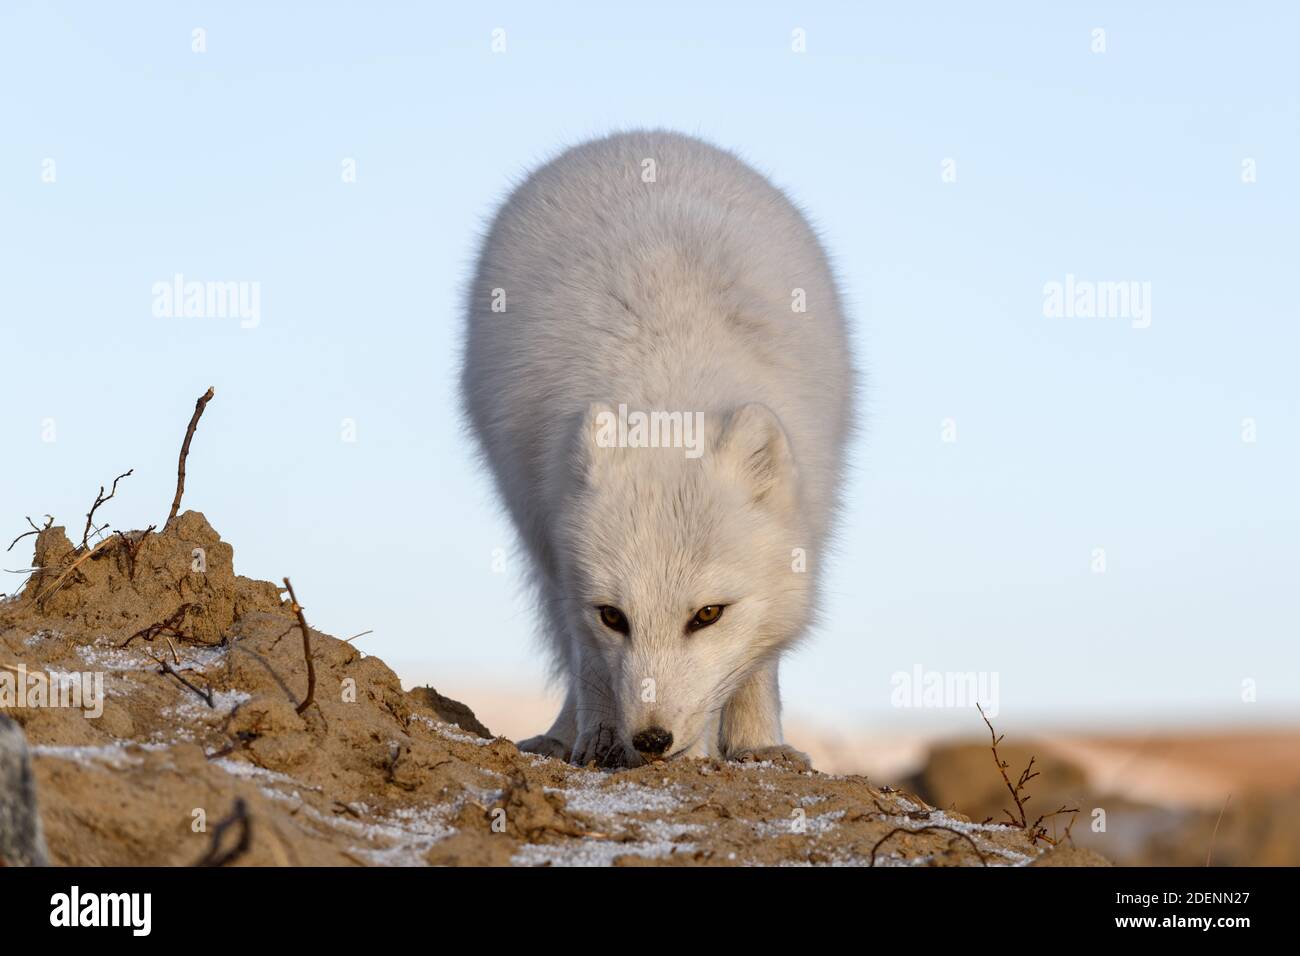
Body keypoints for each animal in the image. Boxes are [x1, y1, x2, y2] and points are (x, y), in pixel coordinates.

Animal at [461, 130, 854, 769]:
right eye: (614, 616)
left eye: (708, 615)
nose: (650, 740)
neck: (669, 384)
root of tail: (635, 136)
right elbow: (588, 660)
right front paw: (598, 738)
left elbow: (760, 658)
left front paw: (758, 745)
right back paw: (566, 732)